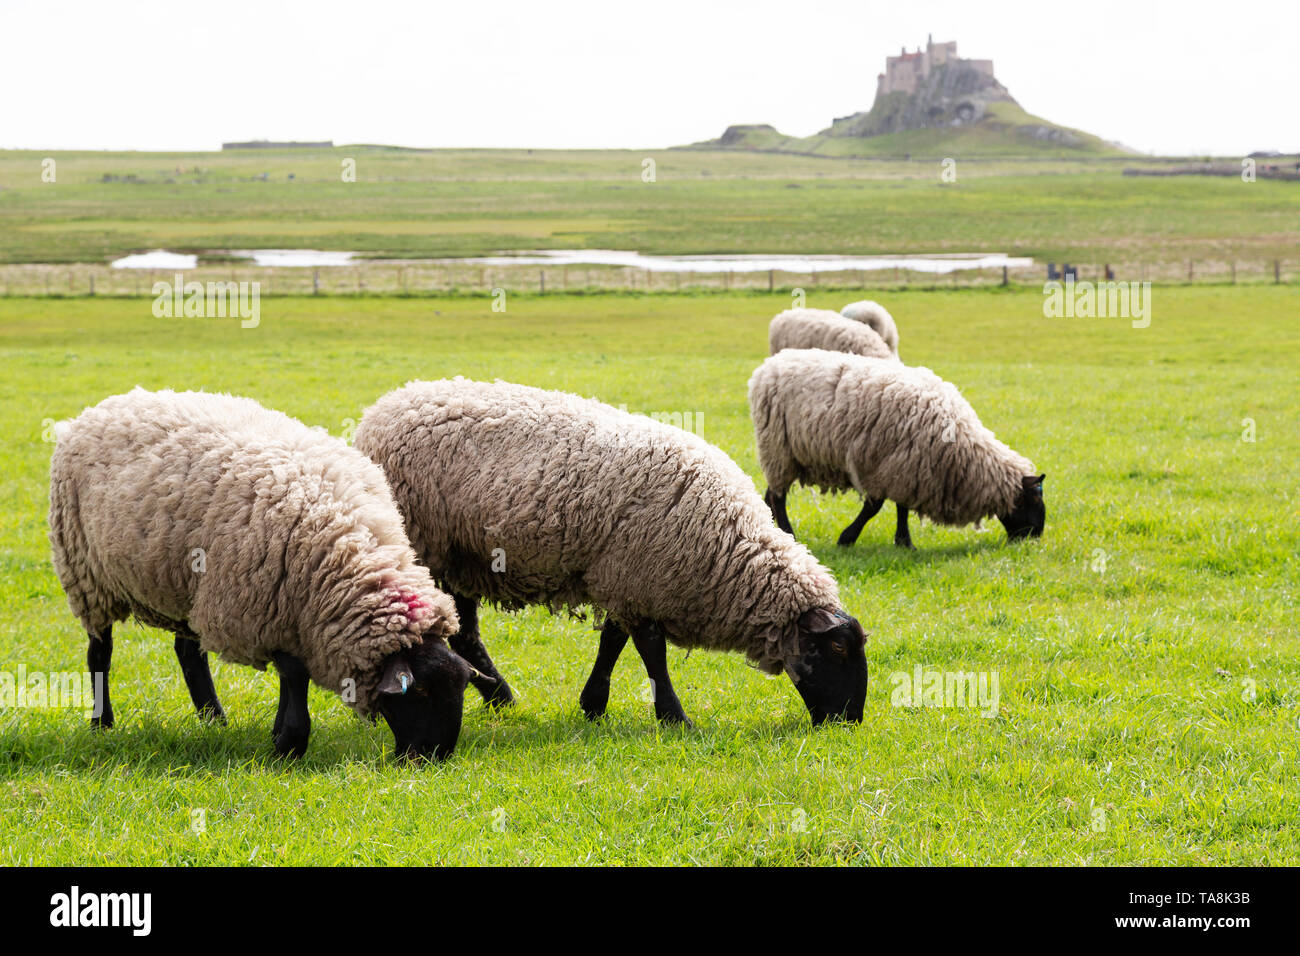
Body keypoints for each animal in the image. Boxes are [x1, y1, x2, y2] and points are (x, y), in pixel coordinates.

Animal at [48, 387, 476, 760]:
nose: (432, 759)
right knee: (99, 653)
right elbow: (295, 674)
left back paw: (214, 719)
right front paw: (289, 743)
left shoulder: (286, 609)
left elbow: (291, 676)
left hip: (186, 584)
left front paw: (279, 737)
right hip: (85, 573)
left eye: (460, 690)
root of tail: (101, 406)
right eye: (420, 694)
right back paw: (102, 723)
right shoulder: (264, 608)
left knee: (187, 652)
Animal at [353, 378, 868, 727]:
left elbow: (614, 642)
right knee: (462, 633)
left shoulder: (622, 578)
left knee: (465, 634)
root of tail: (380, 409)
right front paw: (674, 717)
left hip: (461, 558)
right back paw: (500, 695)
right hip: (428, 550)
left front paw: (594, 704)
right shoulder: (635, 579)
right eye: (838, 647)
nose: (851, 721)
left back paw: (499, 696)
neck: (725, 546)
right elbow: (651, 652)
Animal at [748, 349, 1045, 548]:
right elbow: (874, 507)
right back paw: (789, 532)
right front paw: (848, 538)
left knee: (771, 493)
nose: (1036, 536)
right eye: (1033, 499)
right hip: (778, 447)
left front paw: (904, 541)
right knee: (779, 495)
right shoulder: (883, 464)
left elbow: (901, 507)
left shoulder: (906, 467)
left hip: (786, 454)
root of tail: (769, 365)